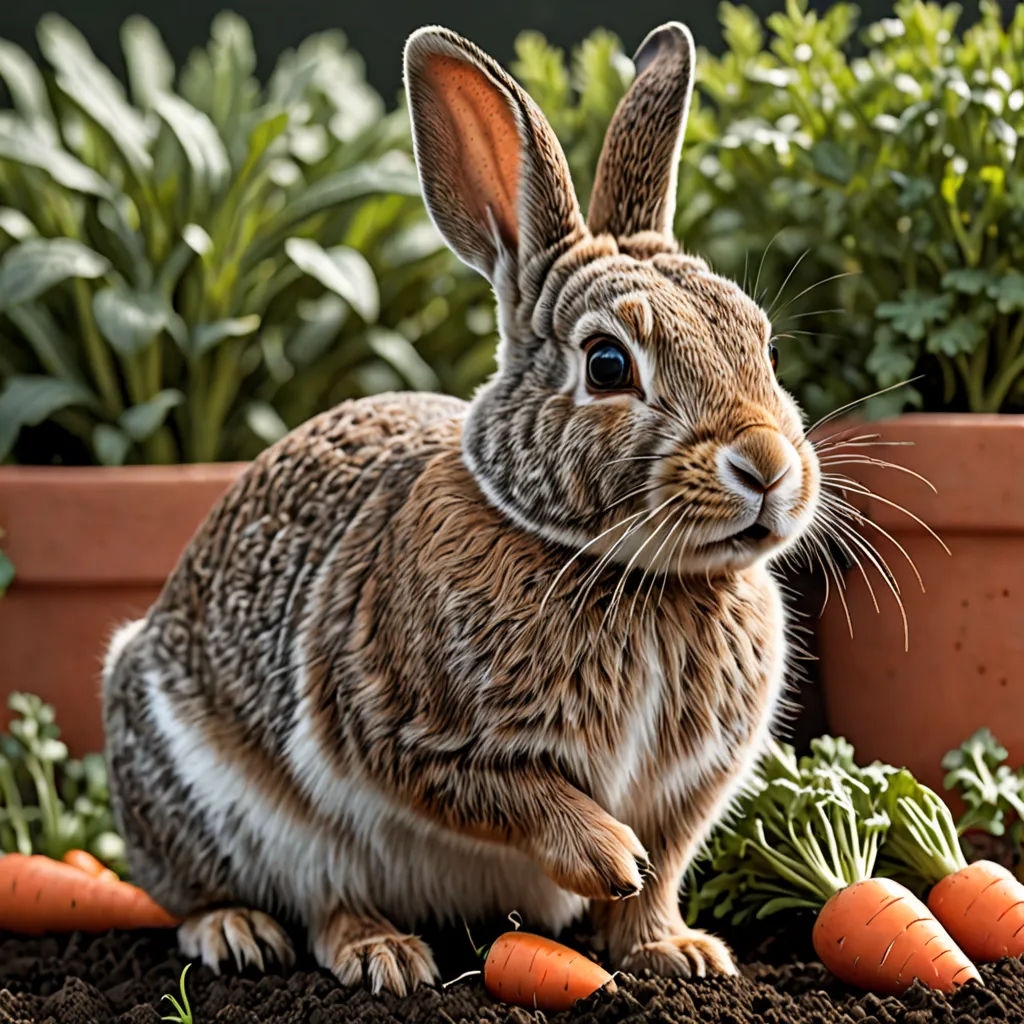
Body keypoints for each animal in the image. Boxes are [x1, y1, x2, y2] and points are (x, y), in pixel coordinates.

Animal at [101, 21, 821, 996]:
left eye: (763, 344)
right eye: (607, 364)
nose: (768, 467)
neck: (629, 572)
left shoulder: (688, 791)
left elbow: (664, 870)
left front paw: (675, 951)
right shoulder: (402, 728)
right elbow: (509, 792)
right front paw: (608, 856)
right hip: (226, 805)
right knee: (303, 900)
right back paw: (324, 946)